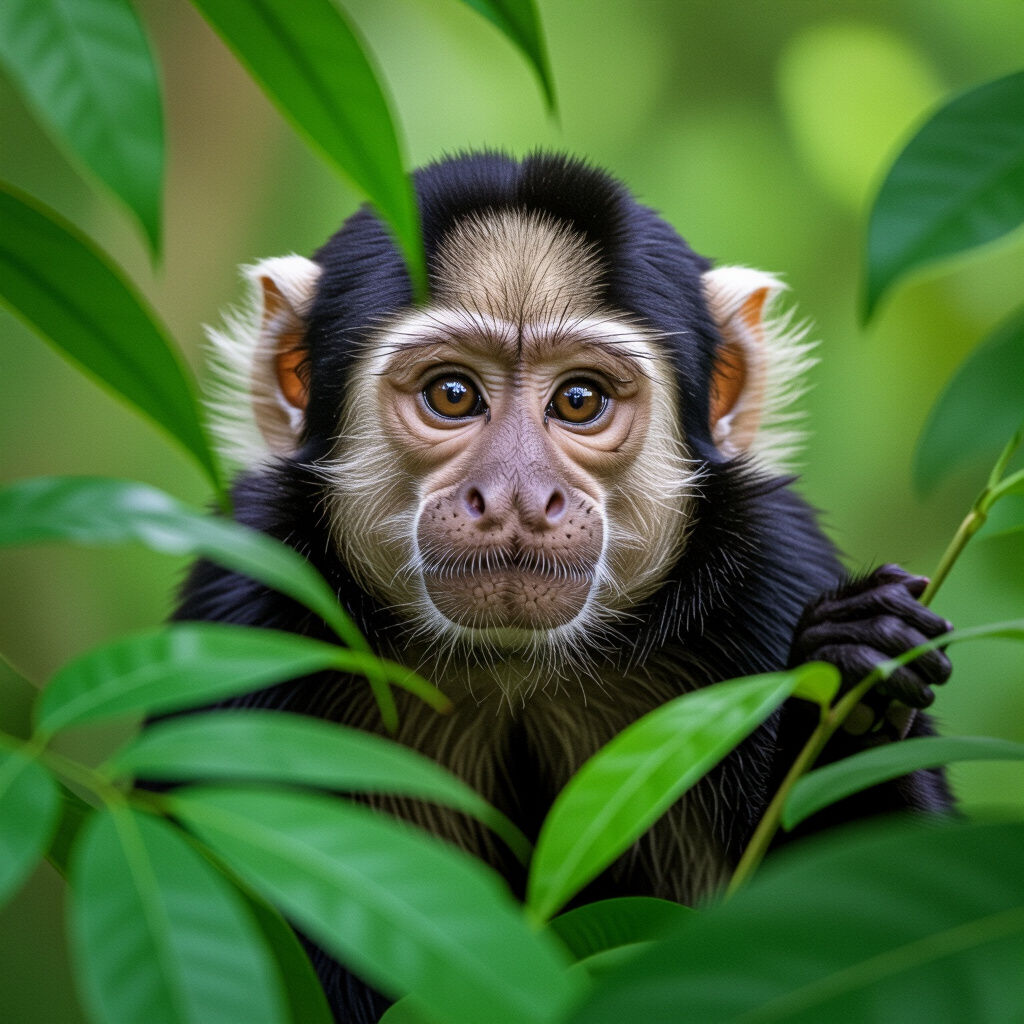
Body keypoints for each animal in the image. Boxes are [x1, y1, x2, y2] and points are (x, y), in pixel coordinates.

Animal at [173, 151, 953, 1022]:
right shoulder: (242, 603)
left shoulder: (777, 567)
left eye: (579, 400)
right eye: (452, 394)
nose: (517, 495)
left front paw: (855, 672)